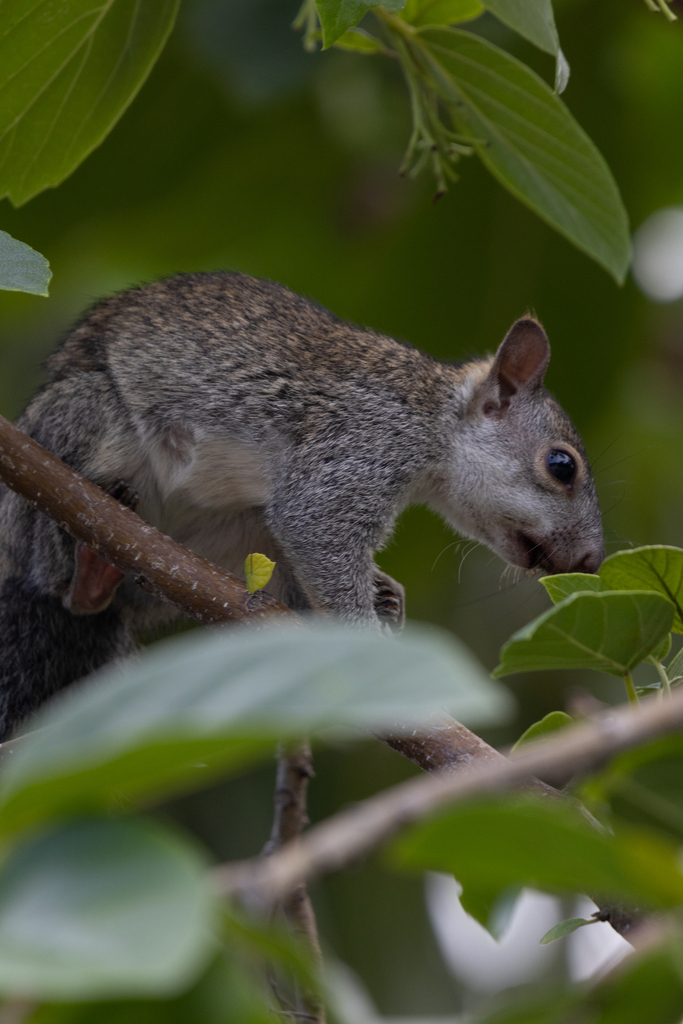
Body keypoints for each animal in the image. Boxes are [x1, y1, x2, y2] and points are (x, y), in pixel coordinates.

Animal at [0, 271, 603, 739]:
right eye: (561, 465)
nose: (593, 561)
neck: (433, 417)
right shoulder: (362, 441)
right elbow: (315, 523)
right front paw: (368, 644)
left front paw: (382, 598)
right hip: (86, 422)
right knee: (57, 571)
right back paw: (87, 565)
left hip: (235, 534)